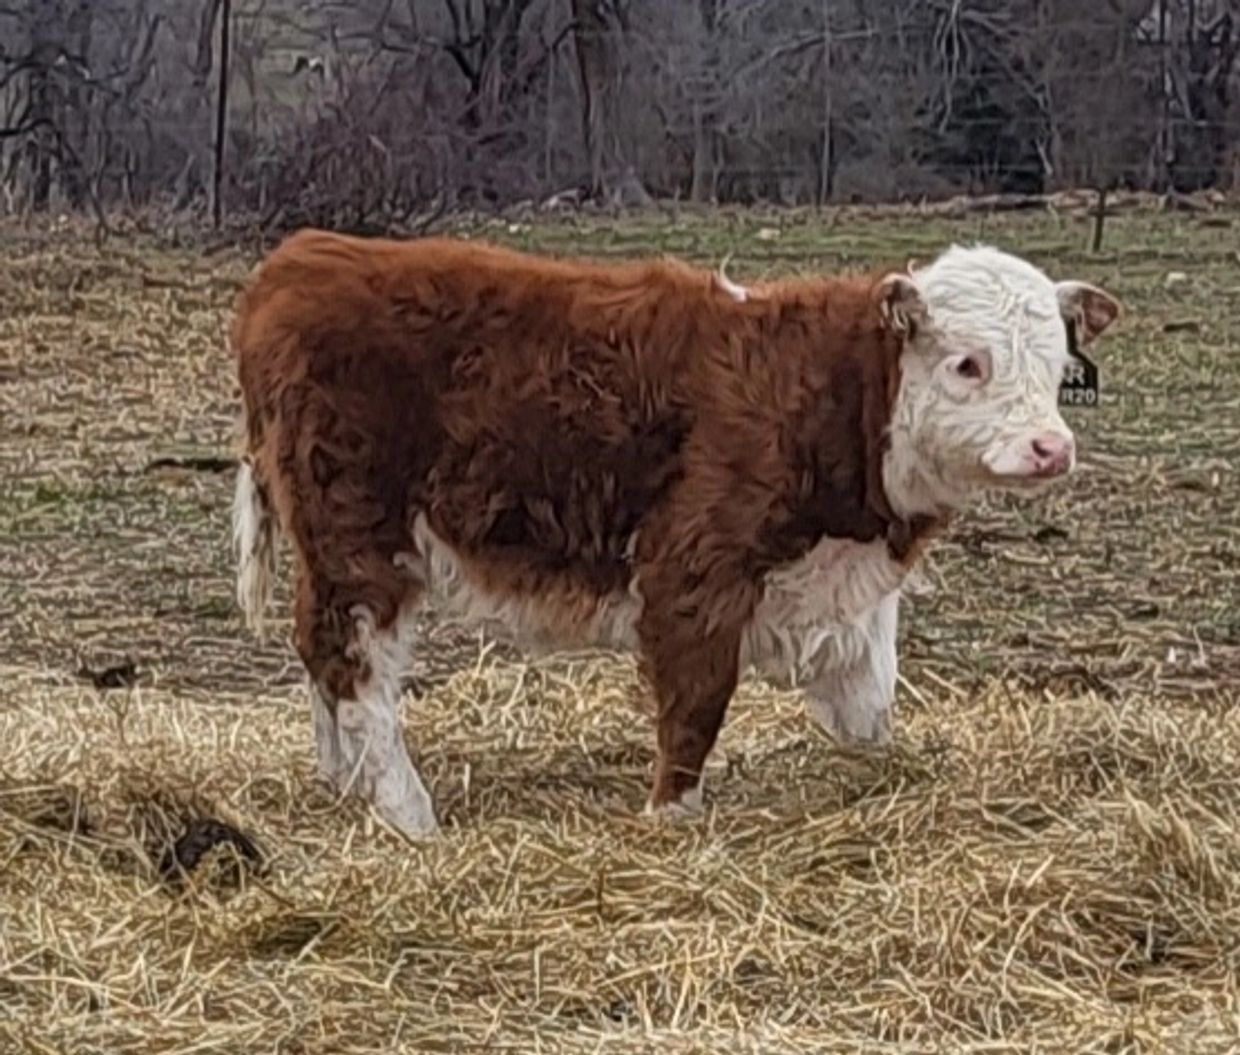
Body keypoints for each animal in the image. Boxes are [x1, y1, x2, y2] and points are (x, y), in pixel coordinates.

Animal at [229, 231, 1120, 838]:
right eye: (969, 362)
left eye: (1059, 366)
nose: (1051, 447)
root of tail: (301, 258)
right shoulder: (695, 566)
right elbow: (697, 701)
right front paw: (671, 818)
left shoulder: (848, 596)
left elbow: (870, 707)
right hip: (363, 540)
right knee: (359, 666)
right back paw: (408, 810)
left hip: (329, 550)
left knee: (319, 648)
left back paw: (340, 782)